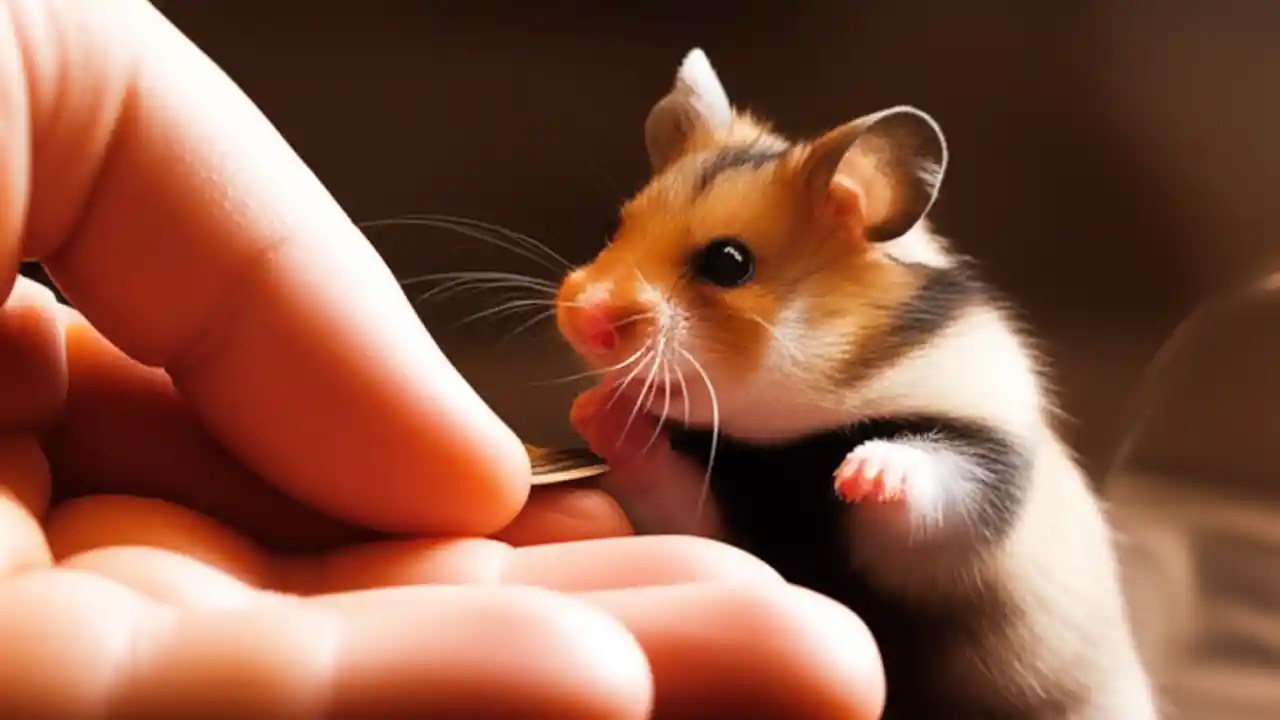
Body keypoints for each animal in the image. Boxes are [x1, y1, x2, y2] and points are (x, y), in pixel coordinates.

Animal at [553, 48, 1159, 719]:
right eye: (616, 227)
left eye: (729, 263)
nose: (578, 317)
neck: (791, 426)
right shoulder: (718, 509)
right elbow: (665, 479)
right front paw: (596, 409)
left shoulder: (976, 480)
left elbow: (924, 483)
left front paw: (860, 473)